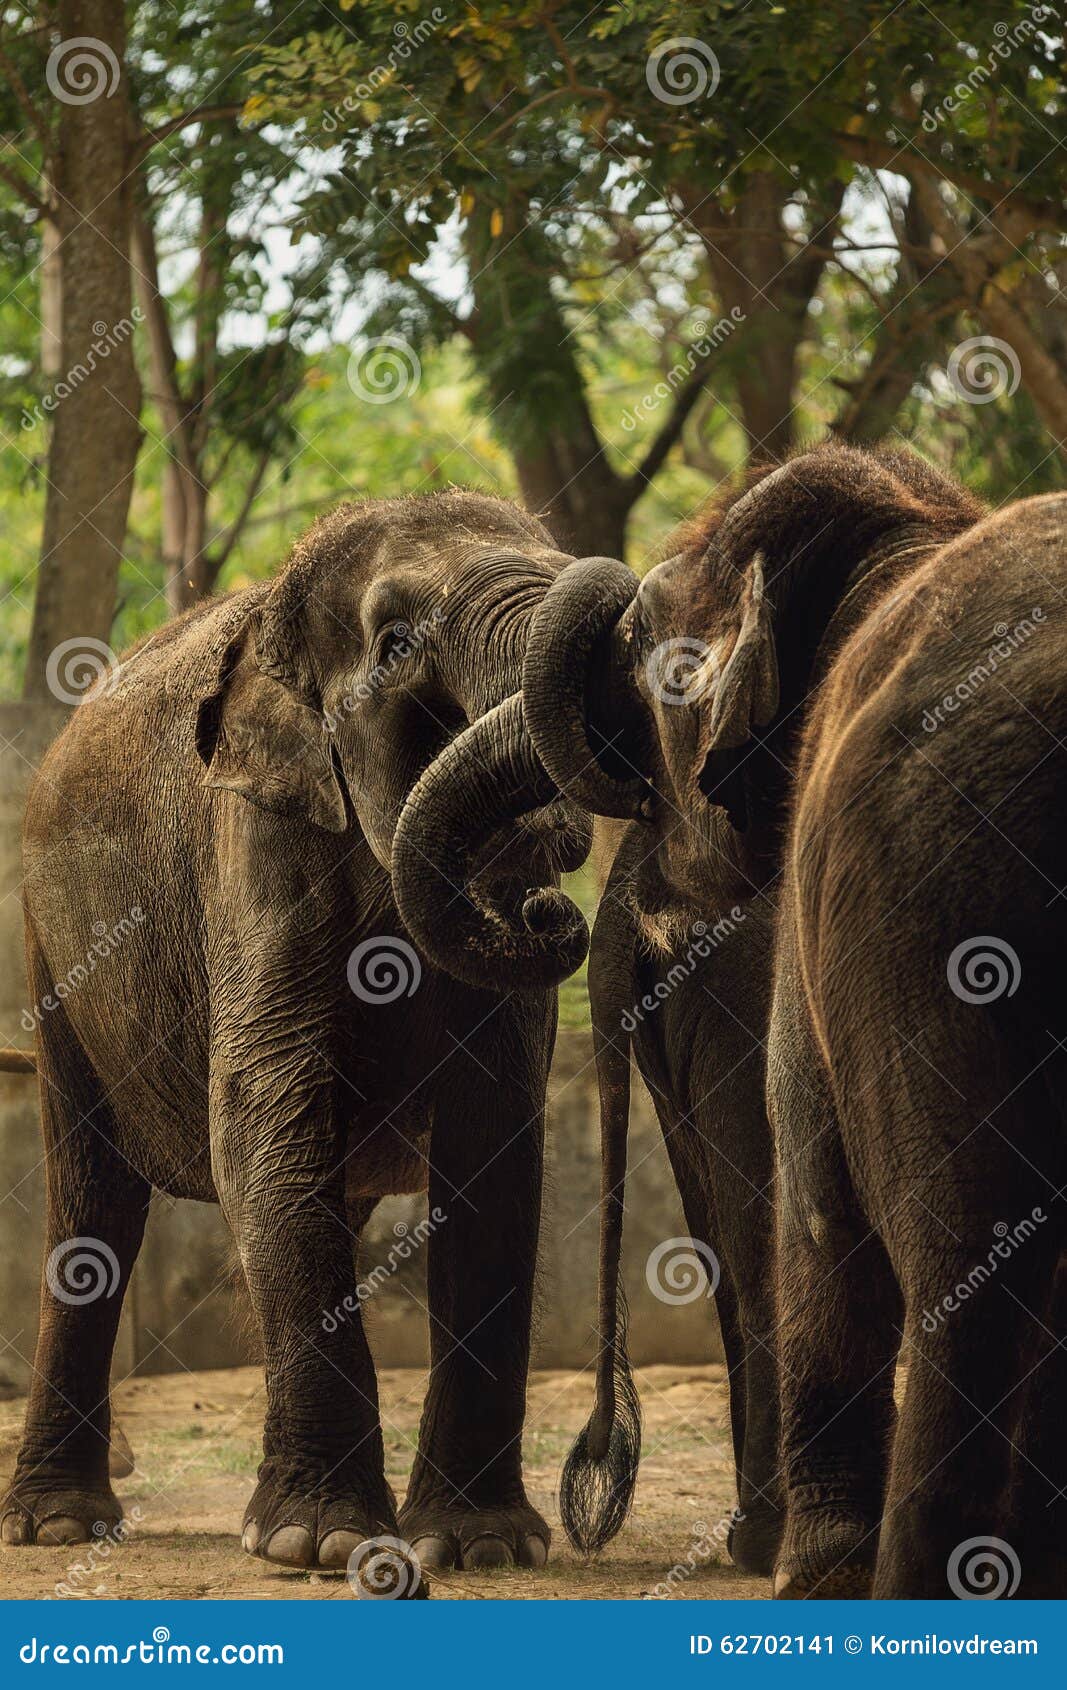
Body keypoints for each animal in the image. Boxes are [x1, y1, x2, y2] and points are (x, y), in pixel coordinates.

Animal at [2, 490, 596, 1583]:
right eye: (394, 643)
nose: (549, 908)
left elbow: (492, 1147)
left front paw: (479, 1548)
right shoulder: (256, 844)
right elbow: (265, 1114)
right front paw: (316, 1545)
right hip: (52, 953)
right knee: (92, 1201)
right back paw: (58, 1525)